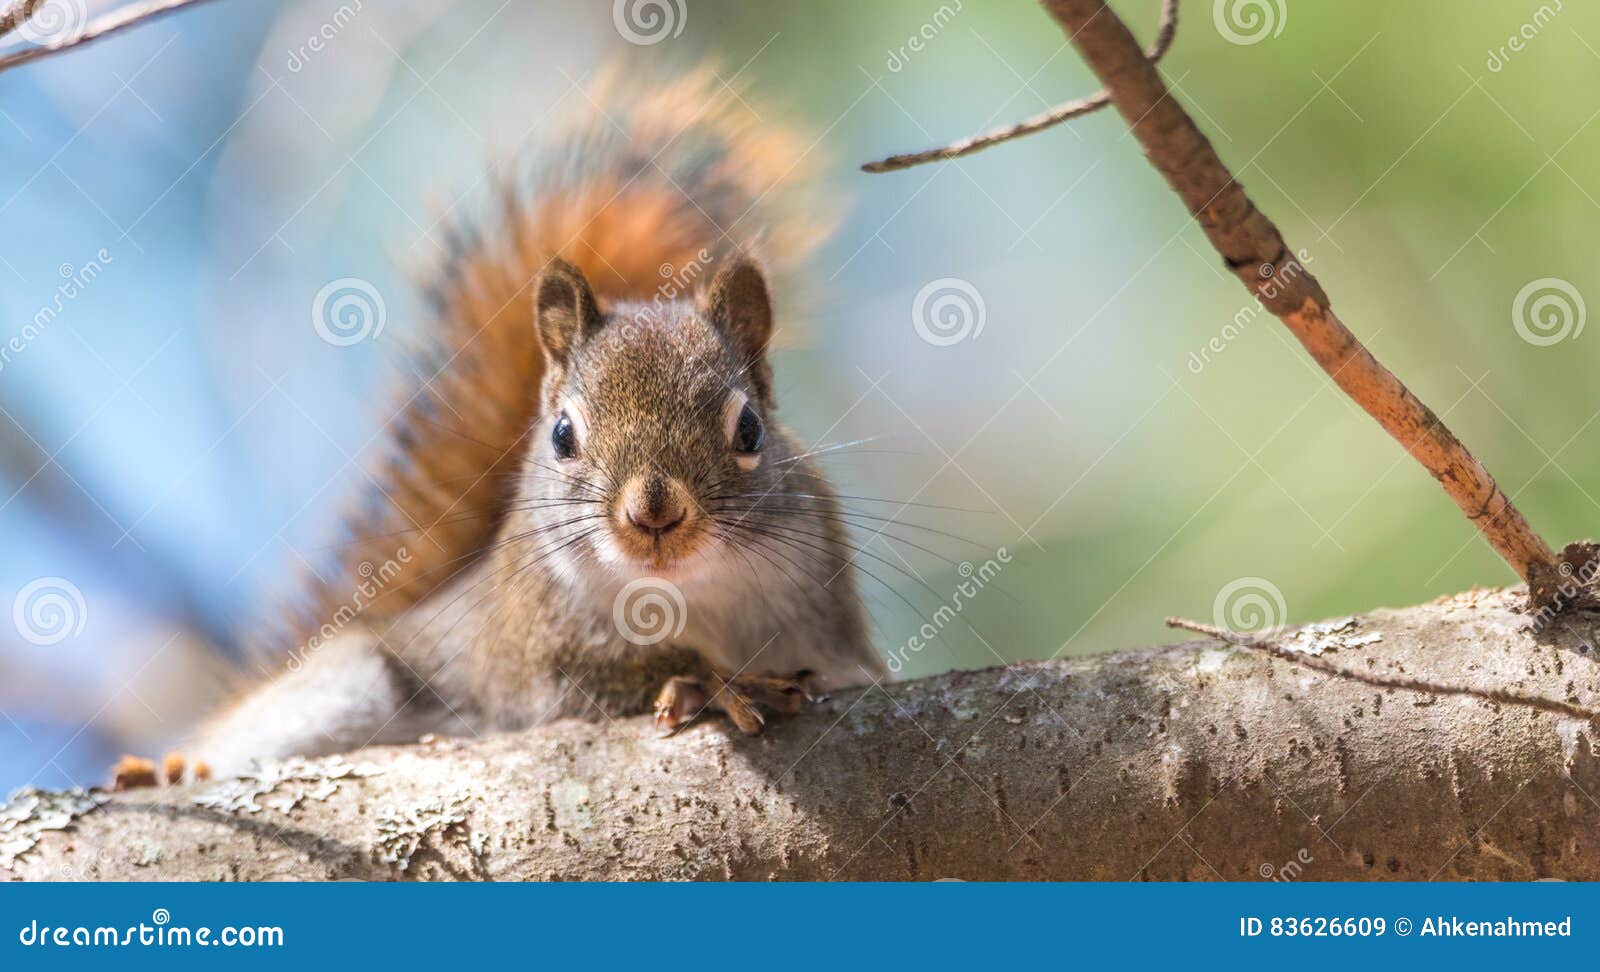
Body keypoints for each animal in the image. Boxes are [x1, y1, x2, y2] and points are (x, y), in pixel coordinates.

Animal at [112, 66, 885, 787]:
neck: (691, 597)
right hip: (356, 678)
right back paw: (167, 770)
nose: (654, 514)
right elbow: (594, 681)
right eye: (562, 436)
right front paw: (711, 680)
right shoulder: (529, 649)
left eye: (750, 430)